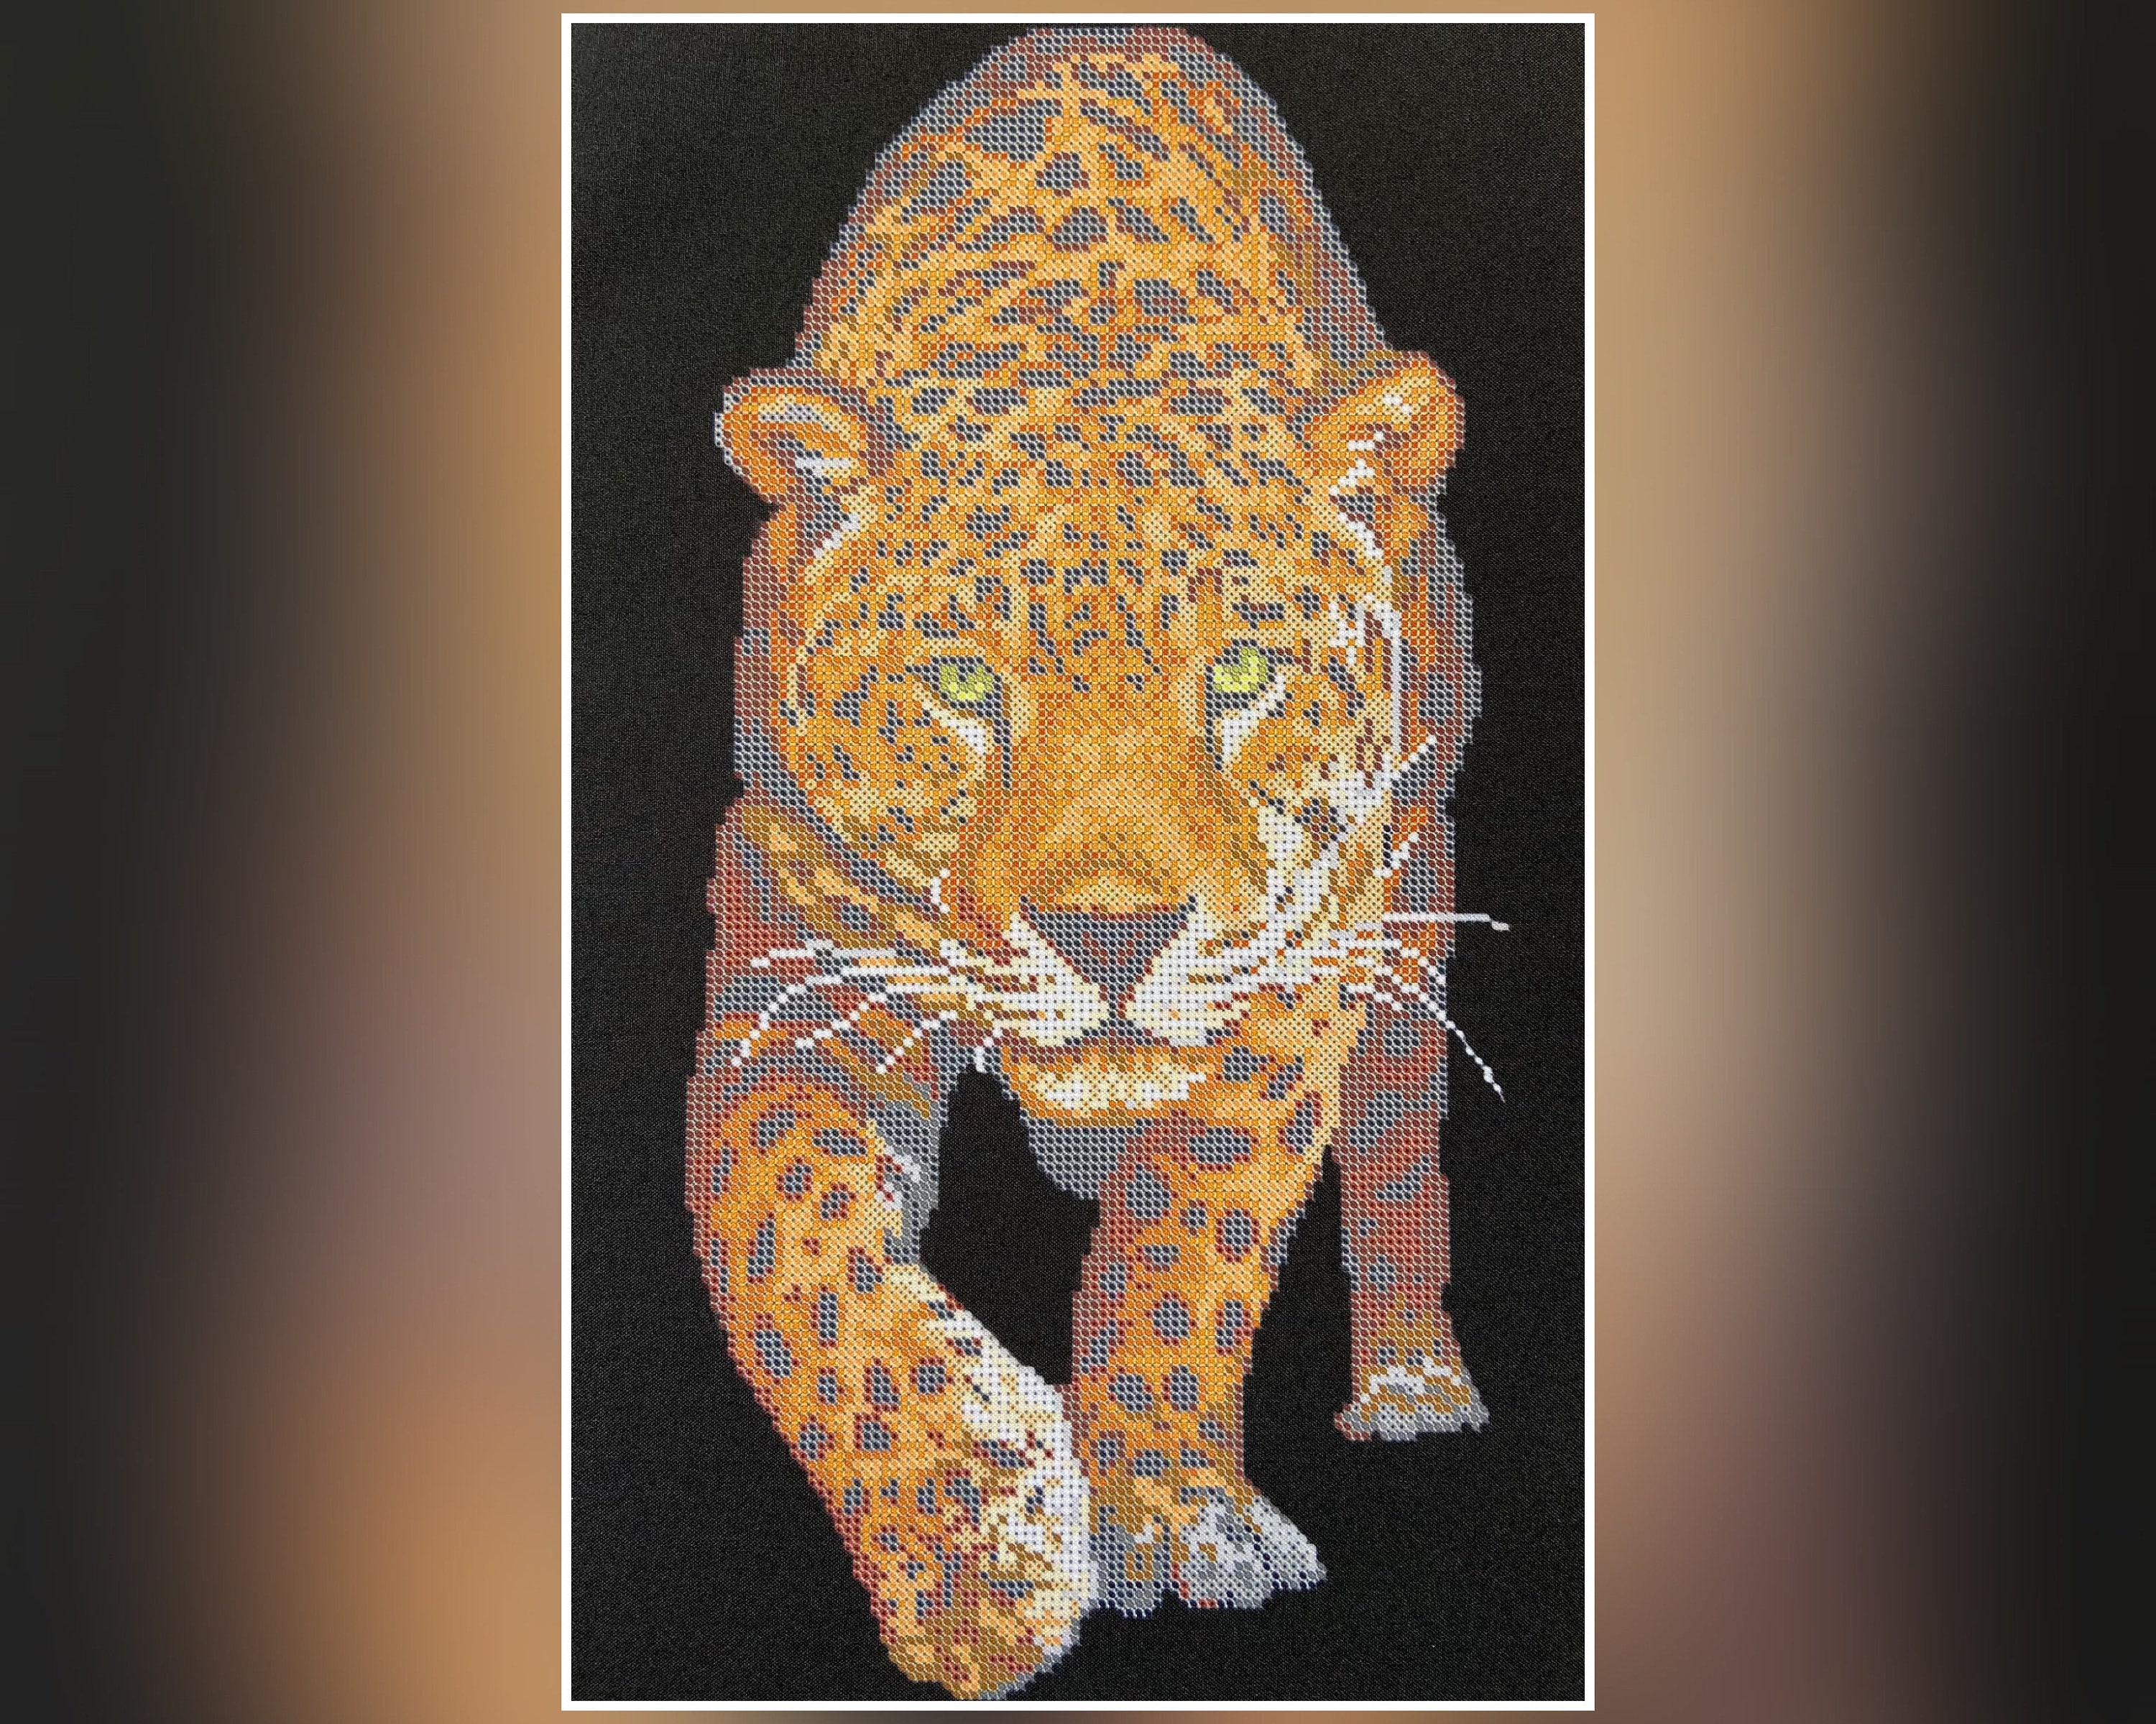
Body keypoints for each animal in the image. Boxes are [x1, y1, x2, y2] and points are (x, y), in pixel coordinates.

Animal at [686, 26, 1490, 1698]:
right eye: (962, 684)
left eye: (1242, 669)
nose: (1108, 938)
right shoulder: (787, 972)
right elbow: (805, 1255)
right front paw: (975, 1554)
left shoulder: (1300, 957)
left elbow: (1194, 1232)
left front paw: (1174, 1516)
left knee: (1398, 1132)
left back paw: (1409, 1369)